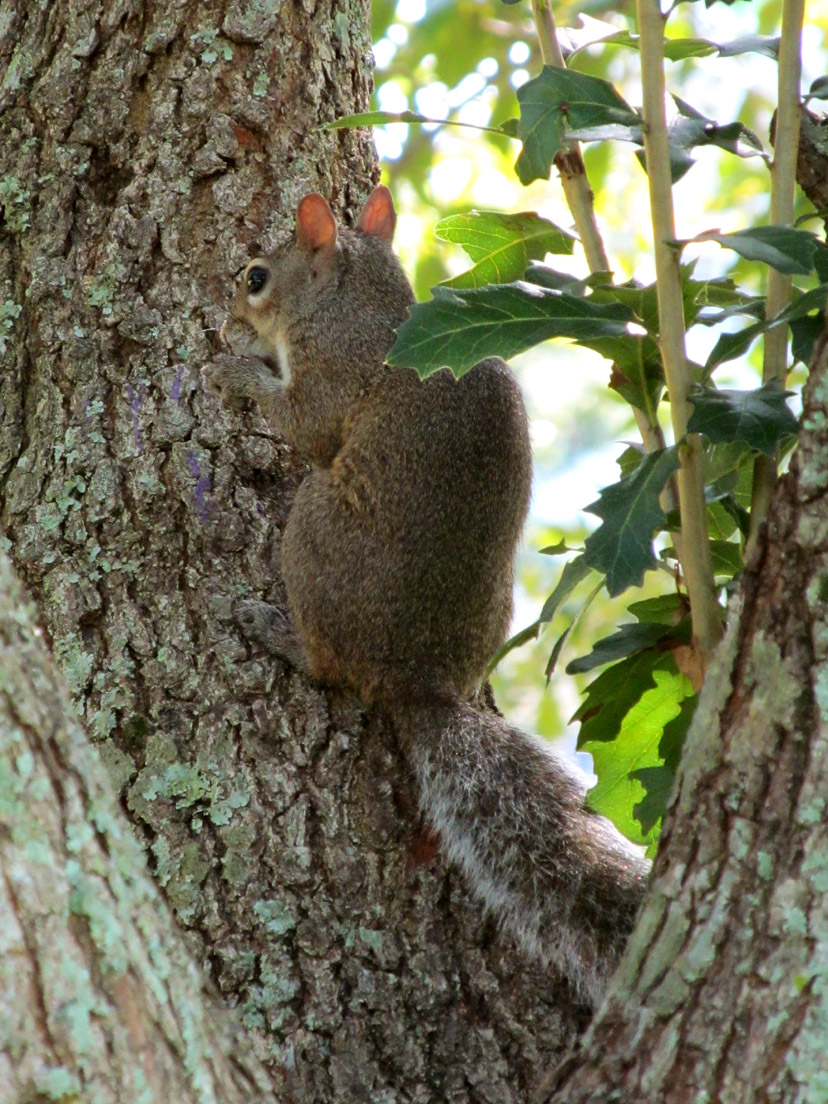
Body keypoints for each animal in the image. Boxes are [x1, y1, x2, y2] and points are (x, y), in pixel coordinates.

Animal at [202, 186, 648, 1008]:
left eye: (255, 277)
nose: (222, 321)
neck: (361, 299)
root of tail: (418, 681)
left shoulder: (332, 374)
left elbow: (305, 427)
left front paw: (236, 369)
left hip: (312, 530)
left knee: (328, 666)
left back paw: (273, 627)